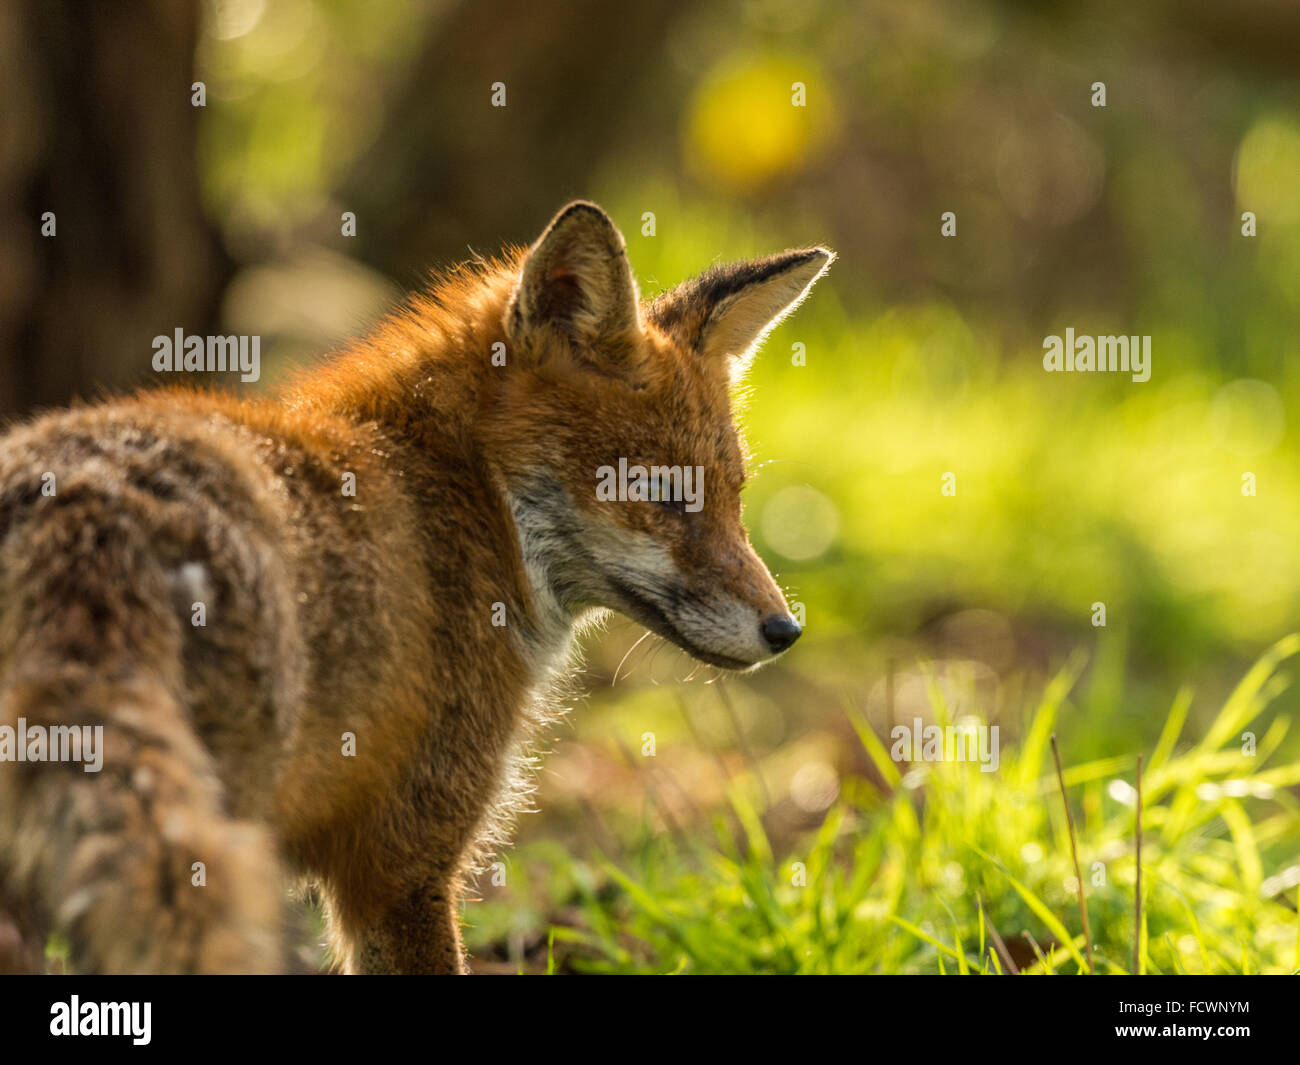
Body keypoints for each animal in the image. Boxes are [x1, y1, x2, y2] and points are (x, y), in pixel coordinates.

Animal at [0, 201, 833, 974]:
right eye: (661, 492)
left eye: (735, 494)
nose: (784, 630)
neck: (464, 495)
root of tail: (81, 504)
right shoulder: (401, 862)